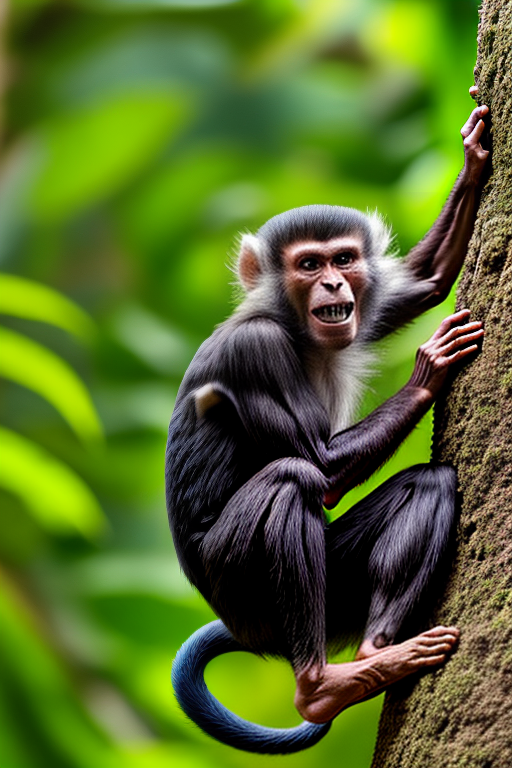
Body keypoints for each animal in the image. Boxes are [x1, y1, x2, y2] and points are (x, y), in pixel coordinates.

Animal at [166, 99, 489, 753]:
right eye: (308, 264)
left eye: (343, 259)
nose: (334, 284)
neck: (295, 328)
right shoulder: (256, 351)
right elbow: (321, 465)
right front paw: (428, 368)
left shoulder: (373, 302)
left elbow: (423, 281)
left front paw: (471, 156)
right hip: (245, 598)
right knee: (291, 479)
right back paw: (322, 686)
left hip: (336, 598)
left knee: (431, 483)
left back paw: (375, 656)